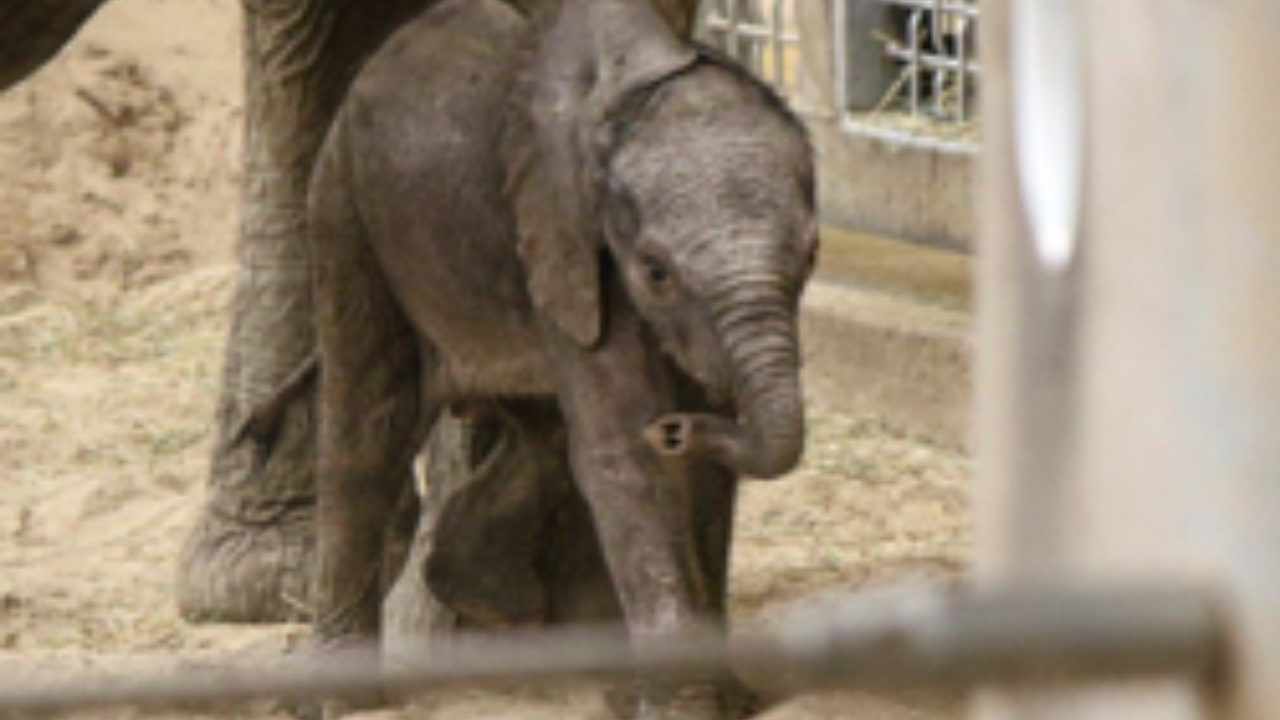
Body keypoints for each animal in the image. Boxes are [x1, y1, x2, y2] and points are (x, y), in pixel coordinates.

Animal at [305, 0, 816, 716]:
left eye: (813, 255)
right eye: (655, 272)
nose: (675, 429)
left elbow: (706, 477)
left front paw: (728, 701)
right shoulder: (568, 242)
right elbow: (623, 460)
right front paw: (684, 709)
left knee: (543, 436)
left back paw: (494, 605)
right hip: (346, 211)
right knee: (367, 431)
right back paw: (346, 697)